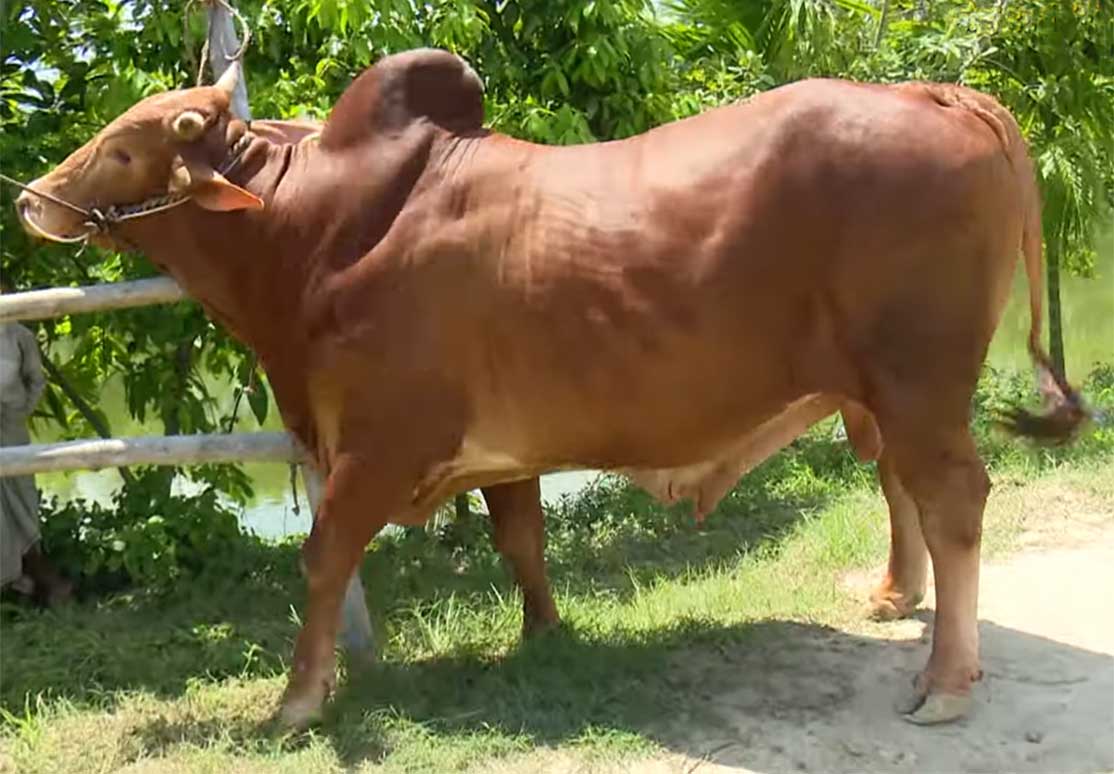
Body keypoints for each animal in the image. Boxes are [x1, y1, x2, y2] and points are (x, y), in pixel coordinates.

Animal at [14, 48, 1088, 730]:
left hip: (919, 381)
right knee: (902, 484)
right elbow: (521, 539)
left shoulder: (378, 444)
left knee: (953, 501)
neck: (311, 227)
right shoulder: (503, 450)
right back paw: (896, 597)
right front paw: (542, 635)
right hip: (886, 391)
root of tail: (936, 93)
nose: (33, 200)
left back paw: (946, 682)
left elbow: (322, 561)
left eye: (125, 147)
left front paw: (298, 704)